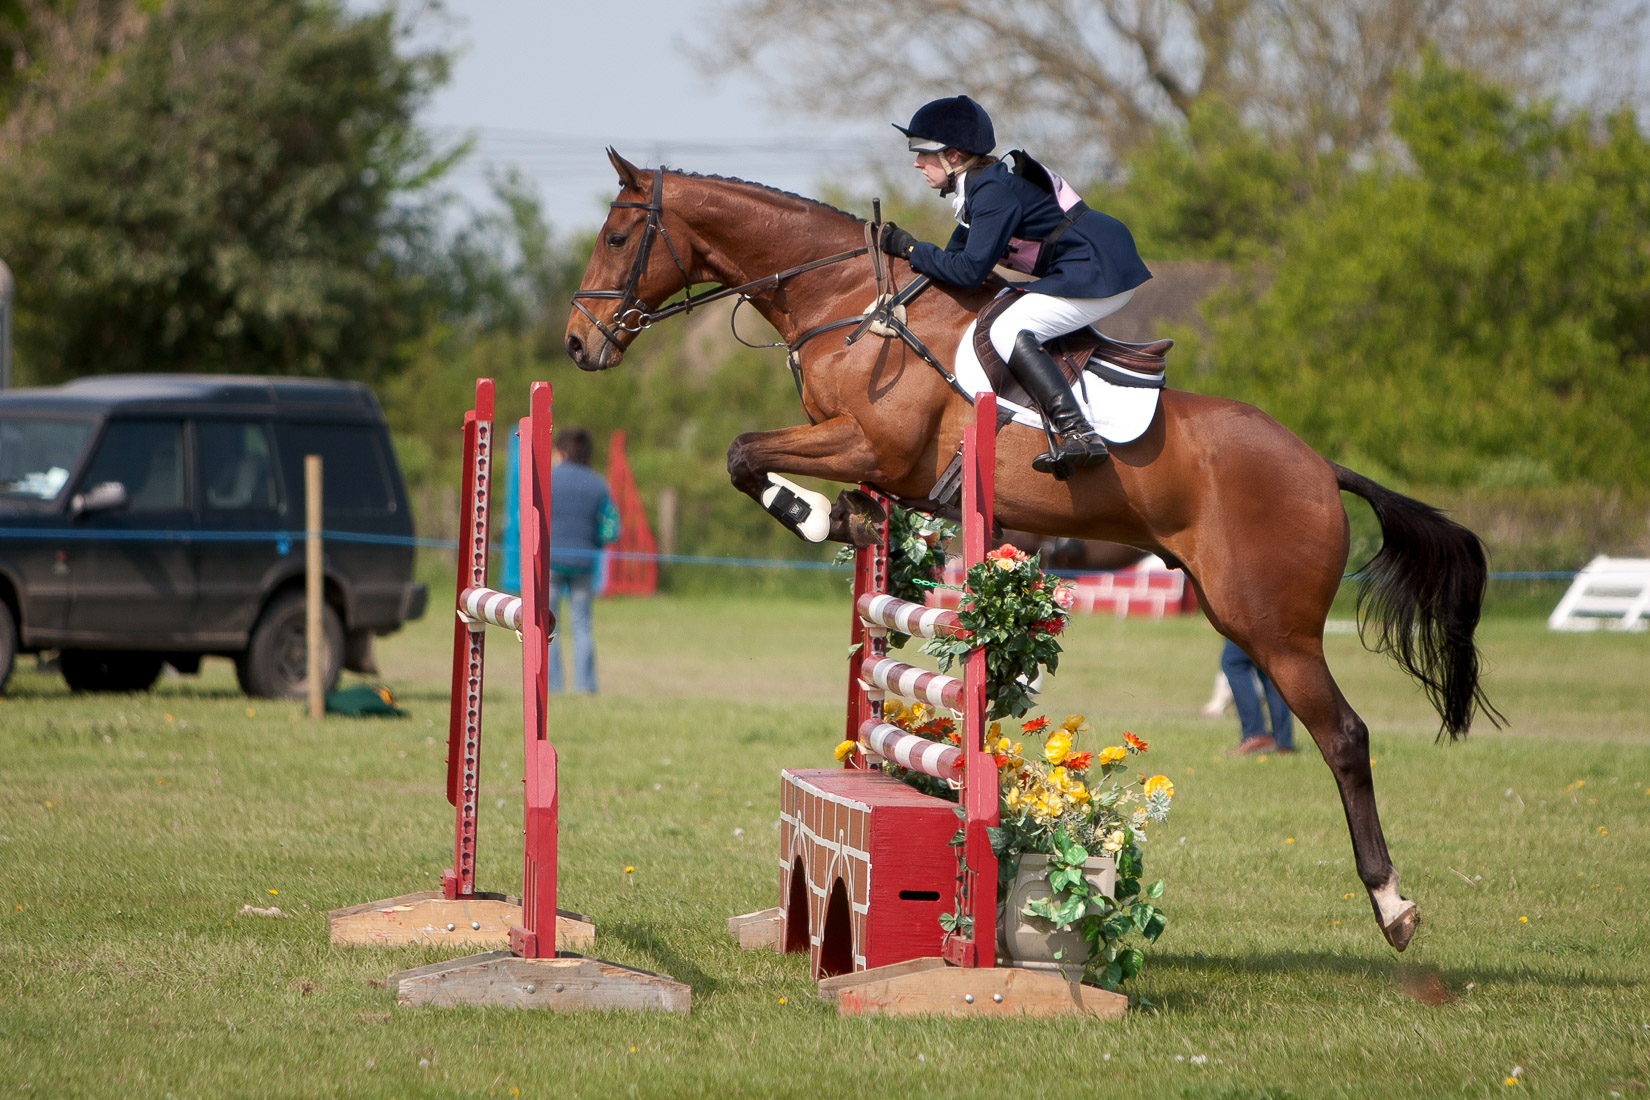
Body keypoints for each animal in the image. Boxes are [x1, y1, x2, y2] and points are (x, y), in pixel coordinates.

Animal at [564, 150, 1500, 953]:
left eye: (615, 236)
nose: (578, 344)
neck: (848, 301)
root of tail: (1319, 466)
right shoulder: (862, 454)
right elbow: (763, 465)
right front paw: (857, 524)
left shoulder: (868, 444)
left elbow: (741, 452)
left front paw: (820, 516)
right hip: (1236, 611)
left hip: (1272, 623)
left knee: (1344, 736)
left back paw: (1393, 907)